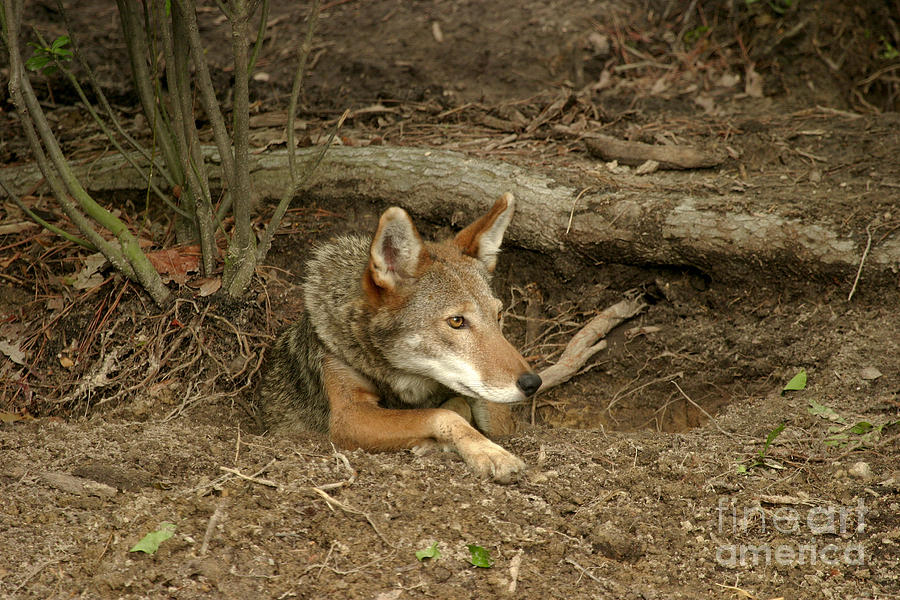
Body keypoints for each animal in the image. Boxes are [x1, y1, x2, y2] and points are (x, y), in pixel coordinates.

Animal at [259, 193, 541, 483]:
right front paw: (488, 452)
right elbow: (442, 415)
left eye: (498, 315)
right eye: (456, 321)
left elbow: (455, 406)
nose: (532, 382)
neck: (405, 382)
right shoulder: (348, 415)